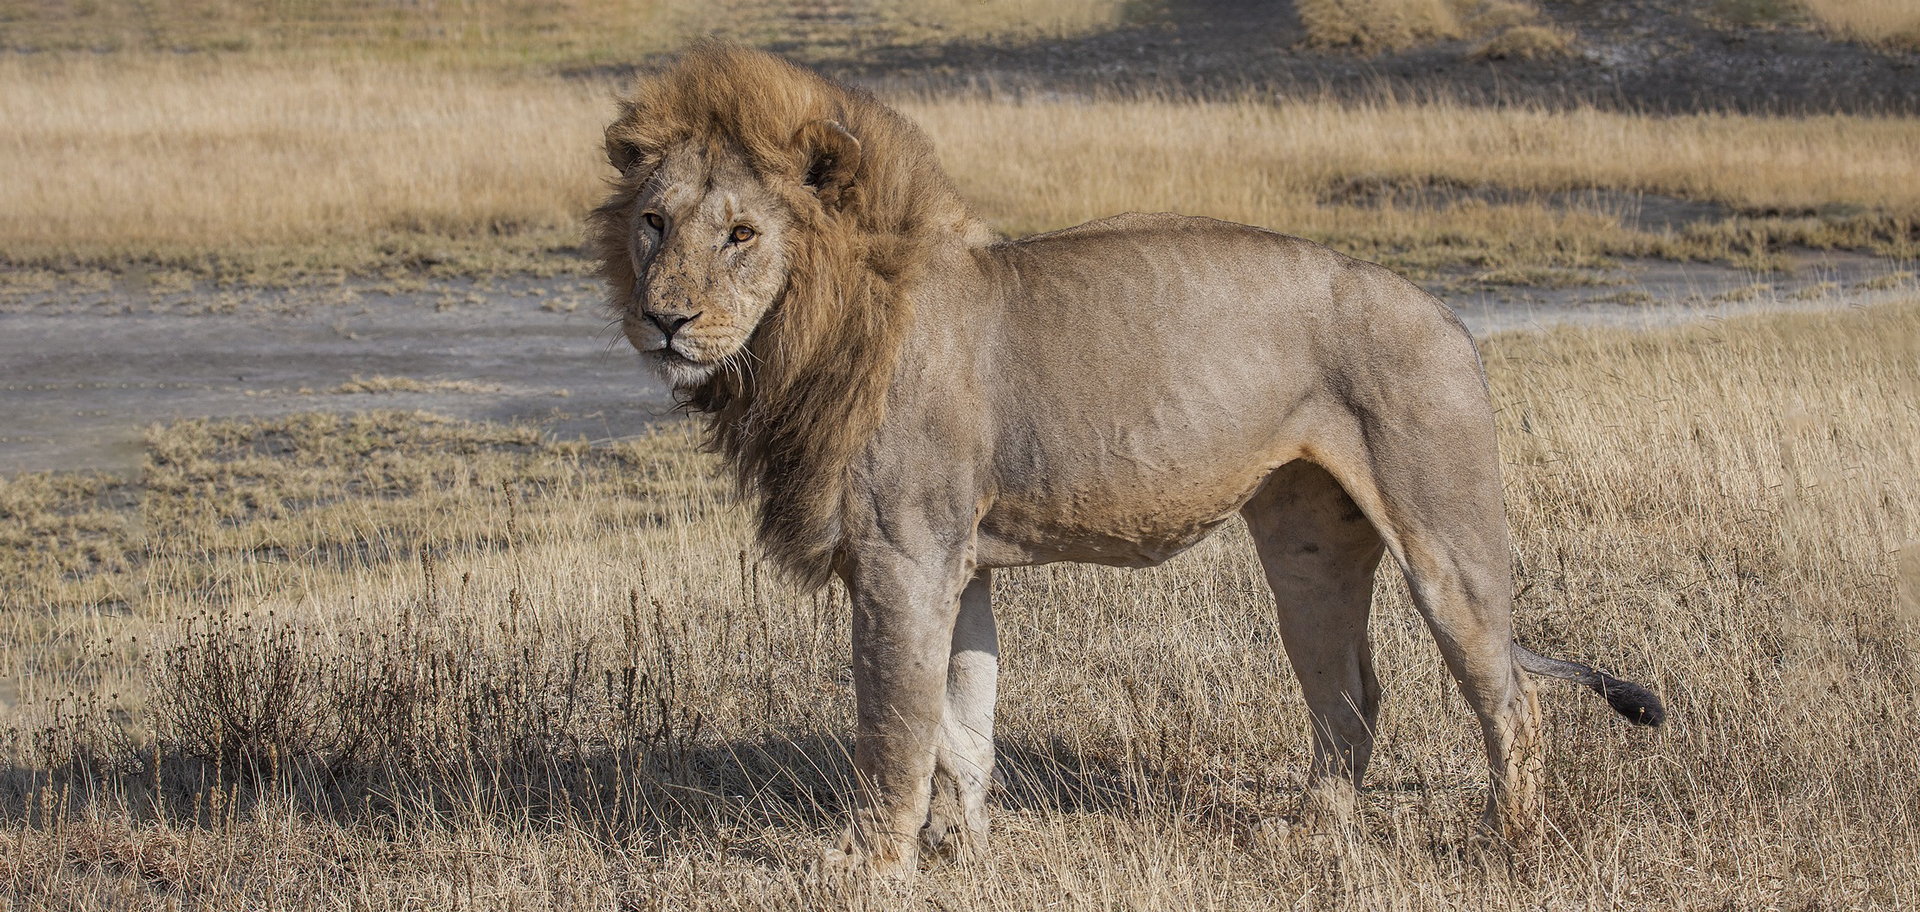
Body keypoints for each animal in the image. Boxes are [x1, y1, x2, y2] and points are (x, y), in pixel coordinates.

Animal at [595, 44, 1665, 874]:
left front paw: (871, 864)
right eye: (654, 222)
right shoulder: (954, 563)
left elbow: (892, 725)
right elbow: (961, 725)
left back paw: (1508, 847)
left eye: (742, 233)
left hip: (1446, 543)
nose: (664, 319)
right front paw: (959, 851)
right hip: (1308, 552)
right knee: (1351, 700)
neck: (801, 337)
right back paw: (1306, 840)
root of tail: (1448, 316)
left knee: (1513, 699)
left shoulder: (904, 558)